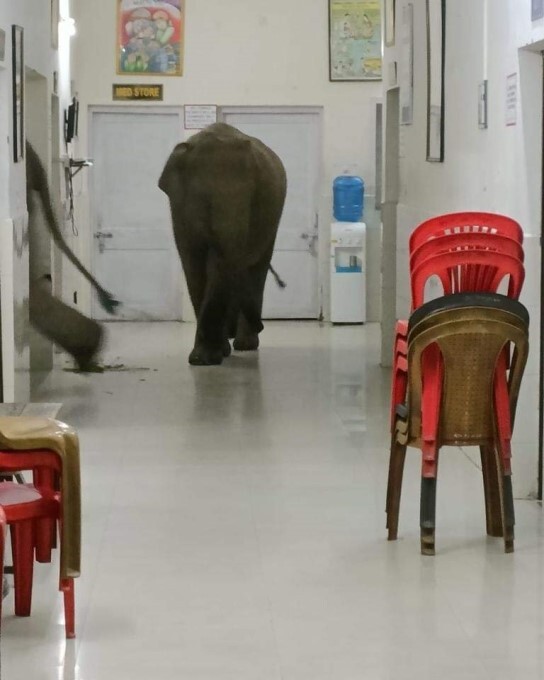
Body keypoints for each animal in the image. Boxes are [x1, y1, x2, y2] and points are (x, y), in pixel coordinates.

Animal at [159, 123, 287, 366]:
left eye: (250, 197)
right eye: (203, 199)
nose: (262, 325)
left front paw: (206, 358)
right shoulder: (179, 210)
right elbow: (193, 263)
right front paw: (204, 358)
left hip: (274, 220)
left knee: (257, 266)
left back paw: (244, 345)